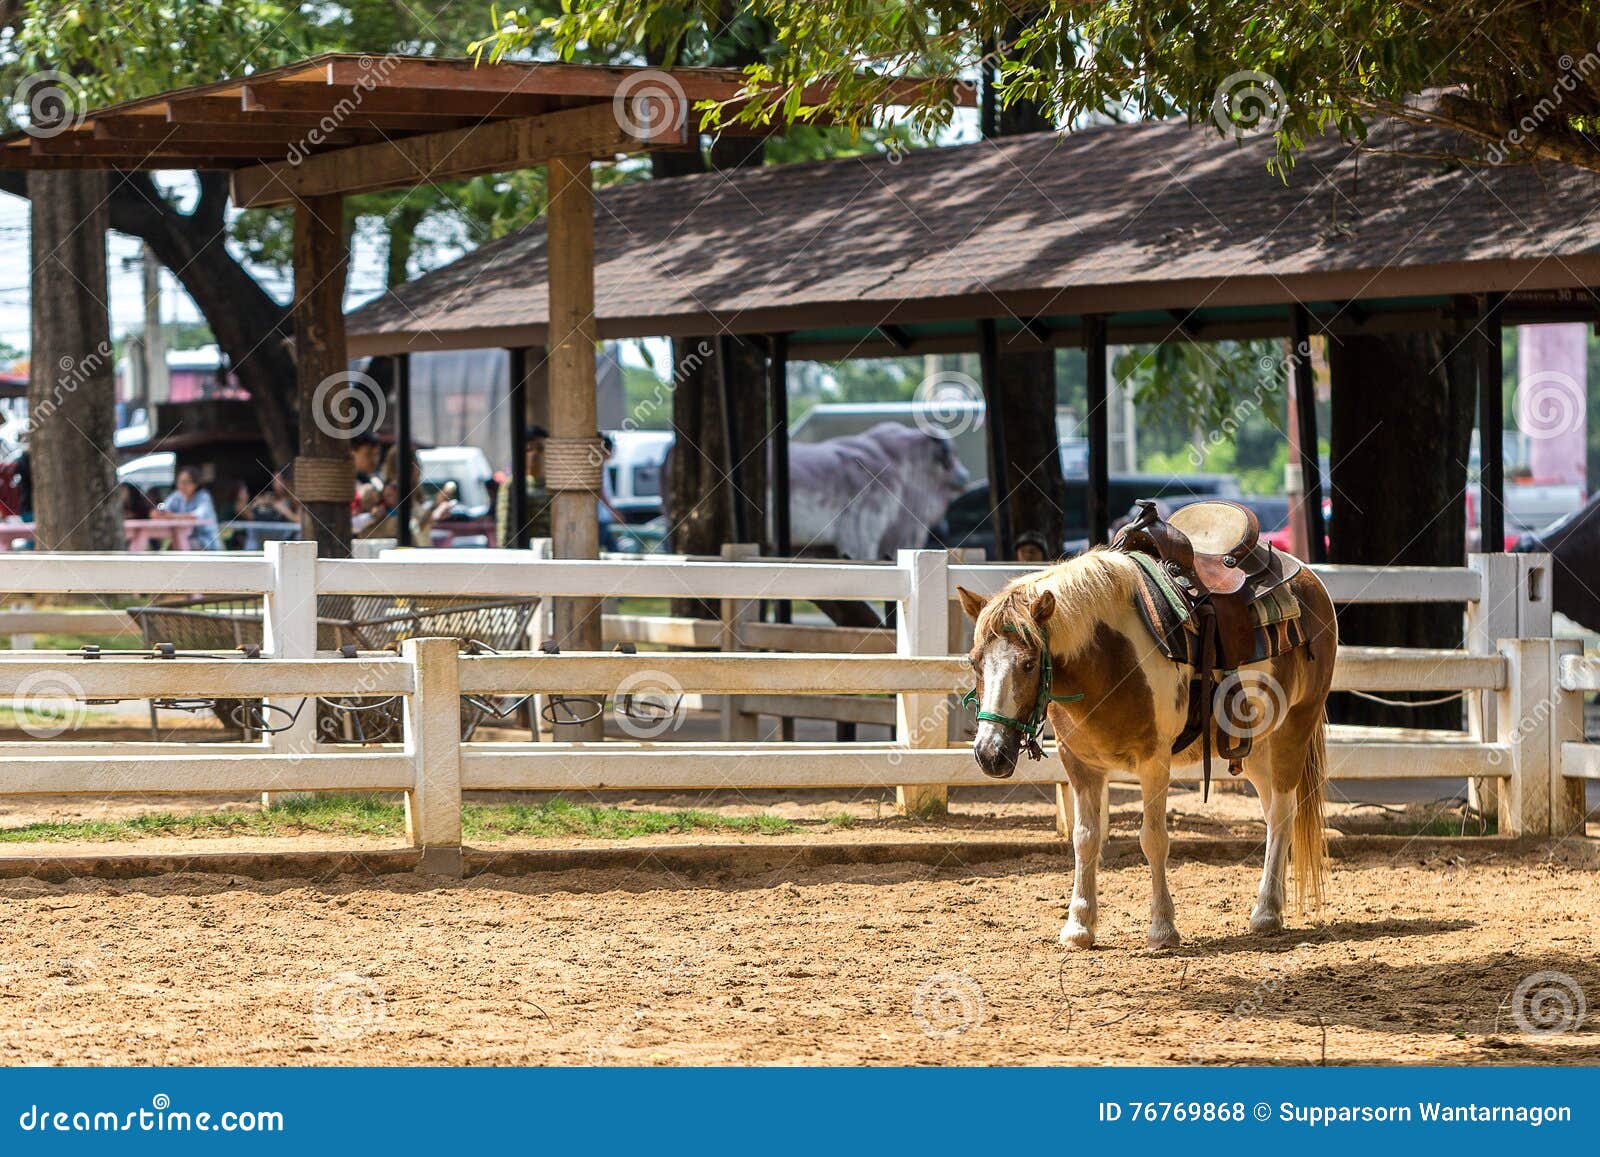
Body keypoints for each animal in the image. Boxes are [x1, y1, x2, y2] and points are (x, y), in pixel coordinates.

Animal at [956, 547, 1336, 949]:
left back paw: (1266, 912)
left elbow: (1153, 839)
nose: (989, 753)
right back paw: (1272, 905)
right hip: (1256, 752)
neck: (1107, 657)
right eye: (974, 662)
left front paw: (1162, 928)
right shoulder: (1080, 763)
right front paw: (1078, 926)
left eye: (1028, 664)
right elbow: (1085, 838)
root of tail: (1308, 577)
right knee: (1278, 816)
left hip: (1293, 731)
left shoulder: (1153, 761)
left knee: (1280, 813)